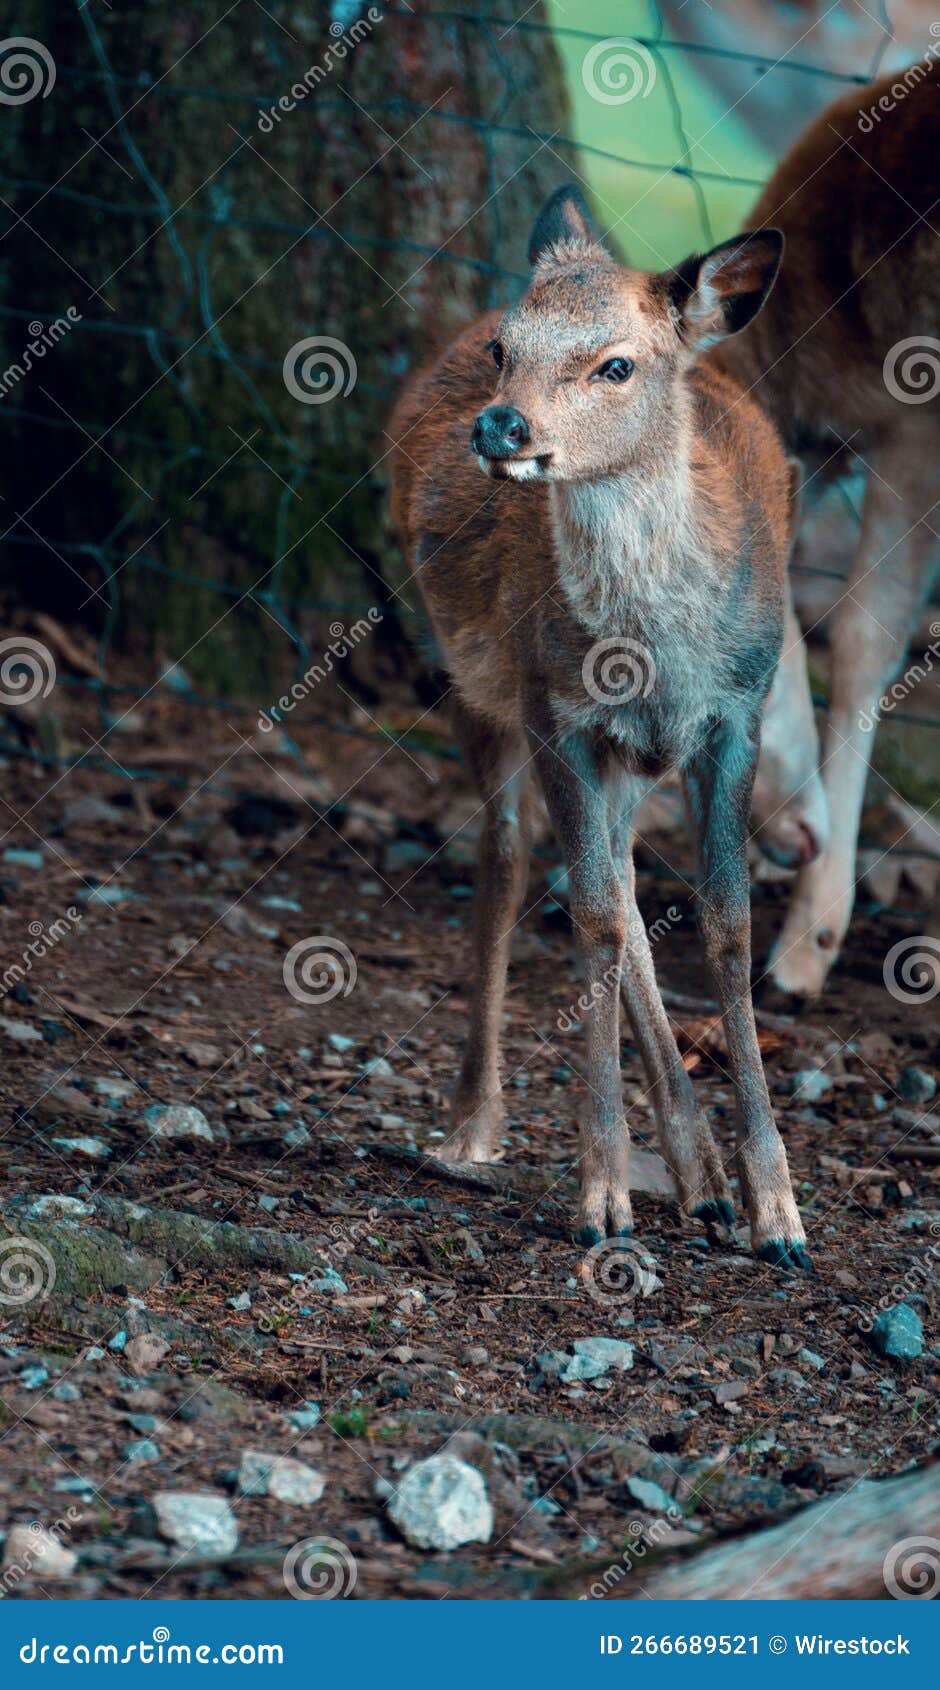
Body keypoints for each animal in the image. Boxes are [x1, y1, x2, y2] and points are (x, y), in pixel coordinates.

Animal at [390, 185, 811, 1270]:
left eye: (616, 363)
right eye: (509, 345)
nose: (501, 425)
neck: (651, 649)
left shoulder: (735, 714)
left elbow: (724, 920)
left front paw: (778, 1212)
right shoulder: (557, 712)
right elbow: (589, 918)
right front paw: (601, 1197)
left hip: (628, 757)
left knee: (619, 886)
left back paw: (704, 1184)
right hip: (478, 683)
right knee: (510, 861)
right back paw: (475, 1122)